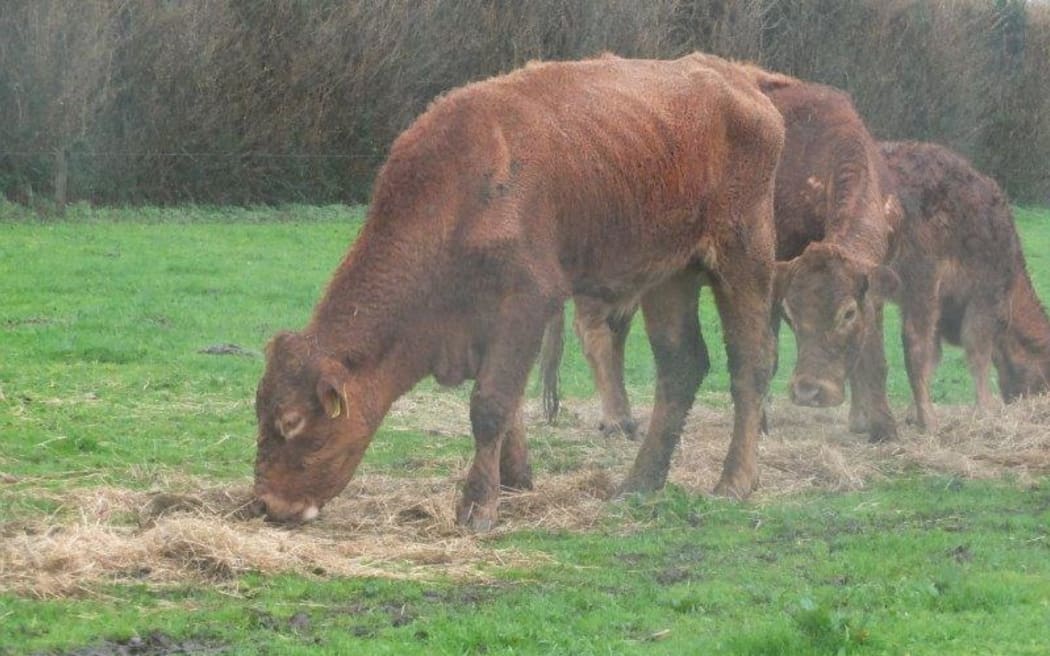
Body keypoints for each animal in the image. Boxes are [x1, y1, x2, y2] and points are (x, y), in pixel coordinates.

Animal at [251, 53, 786, 530]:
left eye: (292, 421)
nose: (269, 504)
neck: (458, 191)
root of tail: (738, 79)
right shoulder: (482, 325)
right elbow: (508, 408)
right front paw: (515, 481)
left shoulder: (527, 301)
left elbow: (490, 405)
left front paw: (477, 509)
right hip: (669, 276)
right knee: (681, 368)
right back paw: (637, 485)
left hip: (744, 259)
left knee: (751, 364)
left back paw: (734, 483)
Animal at [541, 68, 902, 442]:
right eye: (791, 312)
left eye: (848, 313)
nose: (809, 392)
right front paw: (759, 423)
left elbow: (873, 353)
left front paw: (877, 423)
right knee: (594, 331)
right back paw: (617, 420)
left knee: (617, 333)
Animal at [874, 141, 1050, 431]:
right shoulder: (984, 296)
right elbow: (977, 351)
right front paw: (986, 409)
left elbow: (934, 356)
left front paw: (911, 414)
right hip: (922, 274)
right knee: (914, 343)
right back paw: (930, 421)